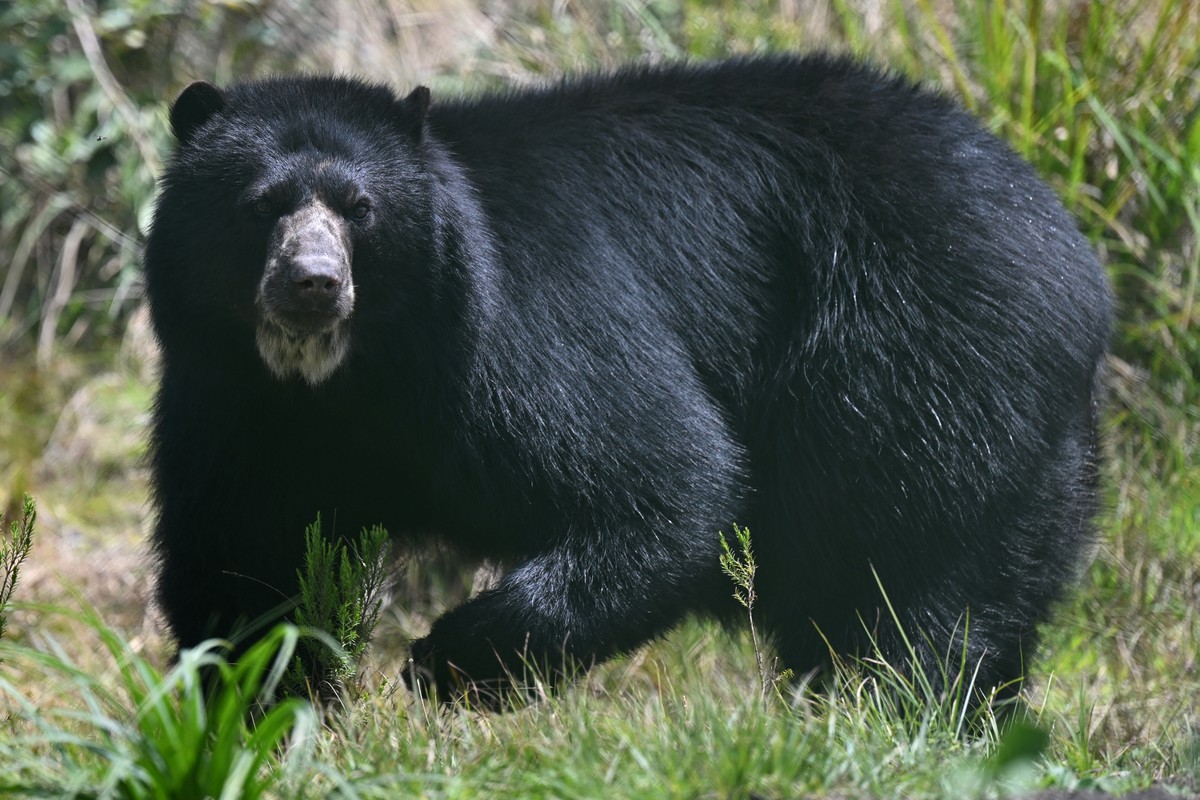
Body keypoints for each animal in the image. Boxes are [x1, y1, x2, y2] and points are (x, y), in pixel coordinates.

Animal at [143, 54, 1111, 708]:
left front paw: (446, 657)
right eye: (261, 206)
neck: (340, 384)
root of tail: (1074, 254)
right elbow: (242, 567)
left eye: (360, 209)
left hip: (925, 372)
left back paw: (897, 712)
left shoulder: (517, 331)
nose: (312, 284)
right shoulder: (225, 402)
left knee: (922, 587)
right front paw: (262, 713)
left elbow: (661, 478)